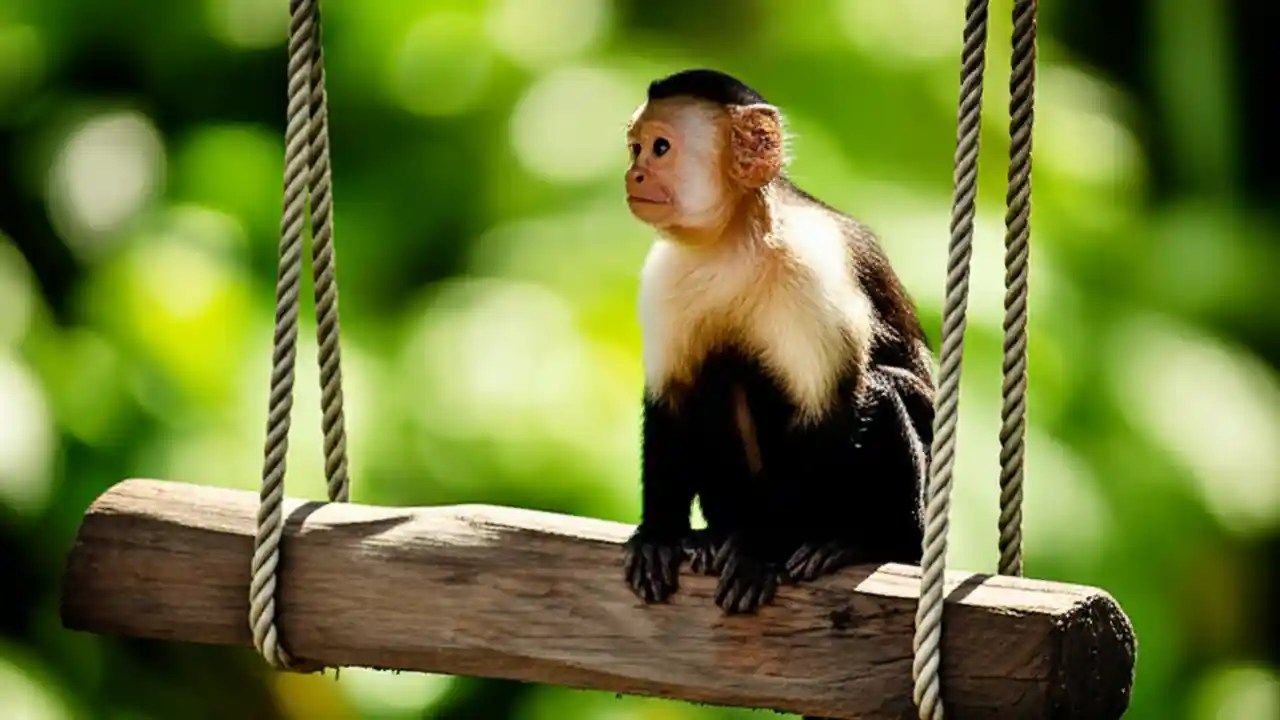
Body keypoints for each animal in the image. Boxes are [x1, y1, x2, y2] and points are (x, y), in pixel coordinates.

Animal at [621, 69, 935, 625]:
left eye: (660, 148)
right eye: (635, 148)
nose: (632, 175)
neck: (735, 242)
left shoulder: (812, 267)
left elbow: (827, 415)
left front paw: (761, 551)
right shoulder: (664, 274)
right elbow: (669, 401)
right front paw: (659, 534)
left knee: (879, 389)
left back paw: (853, 542)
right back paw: (719, 534)